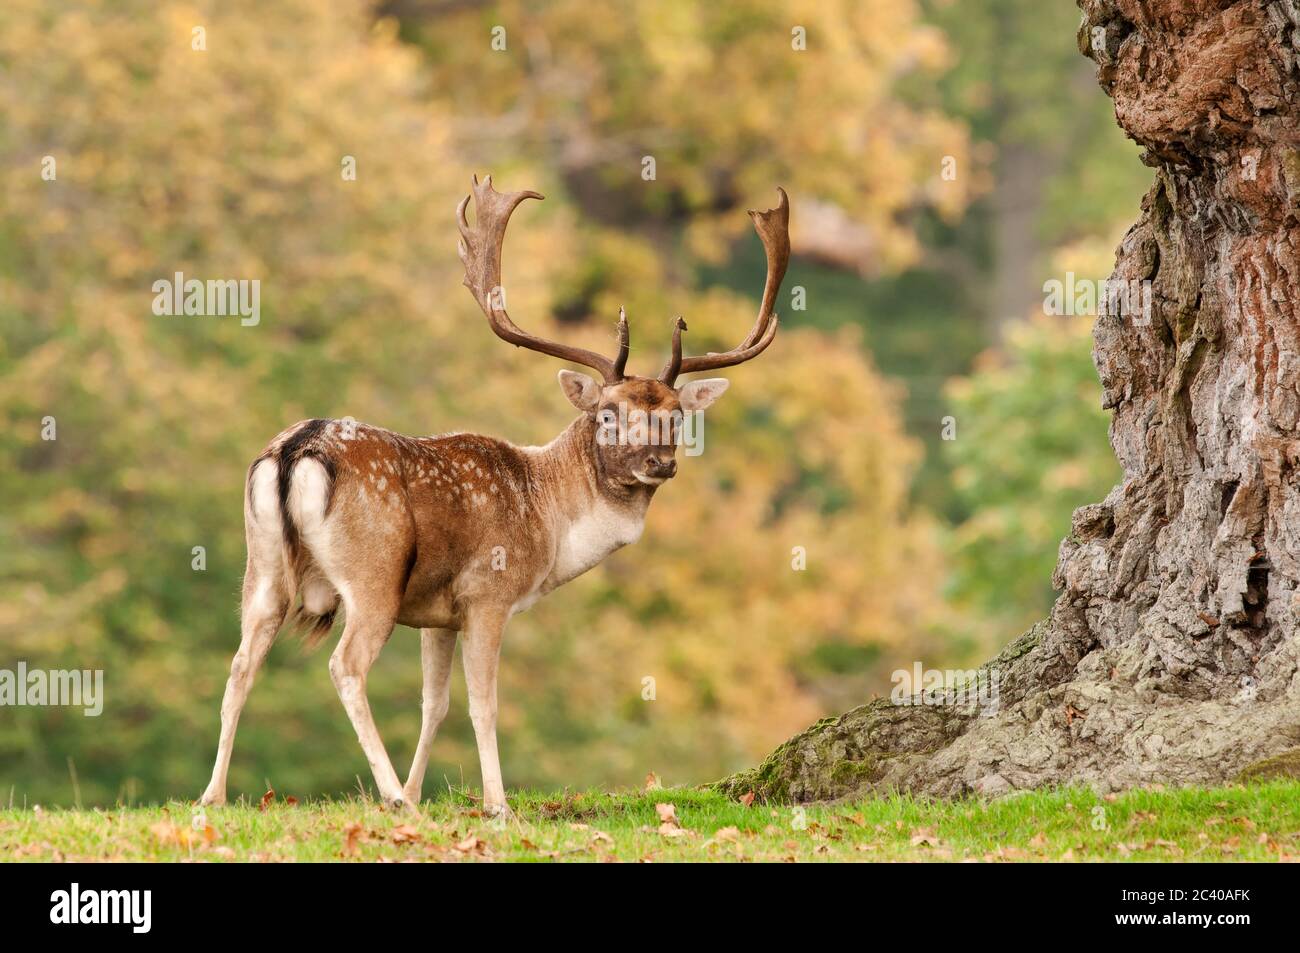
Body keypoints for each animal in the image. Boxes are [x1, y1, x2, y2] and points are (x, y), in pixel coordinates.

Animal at [198, 175, 789, 816]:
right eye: (608, 413)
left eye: (677, 415)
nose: (660, 463)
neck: (549, 520)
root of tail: (296, 449)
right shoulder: (487, 592)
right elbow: (483, 703)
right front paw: (494, 804)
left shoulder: (436, 614)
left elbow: (435, 706)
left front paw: (423, 790)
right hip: (373, 571)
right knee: (345, 666)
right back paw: (389, 796)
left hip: (261, 564)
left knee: (240, 663)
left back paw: (214, 796)